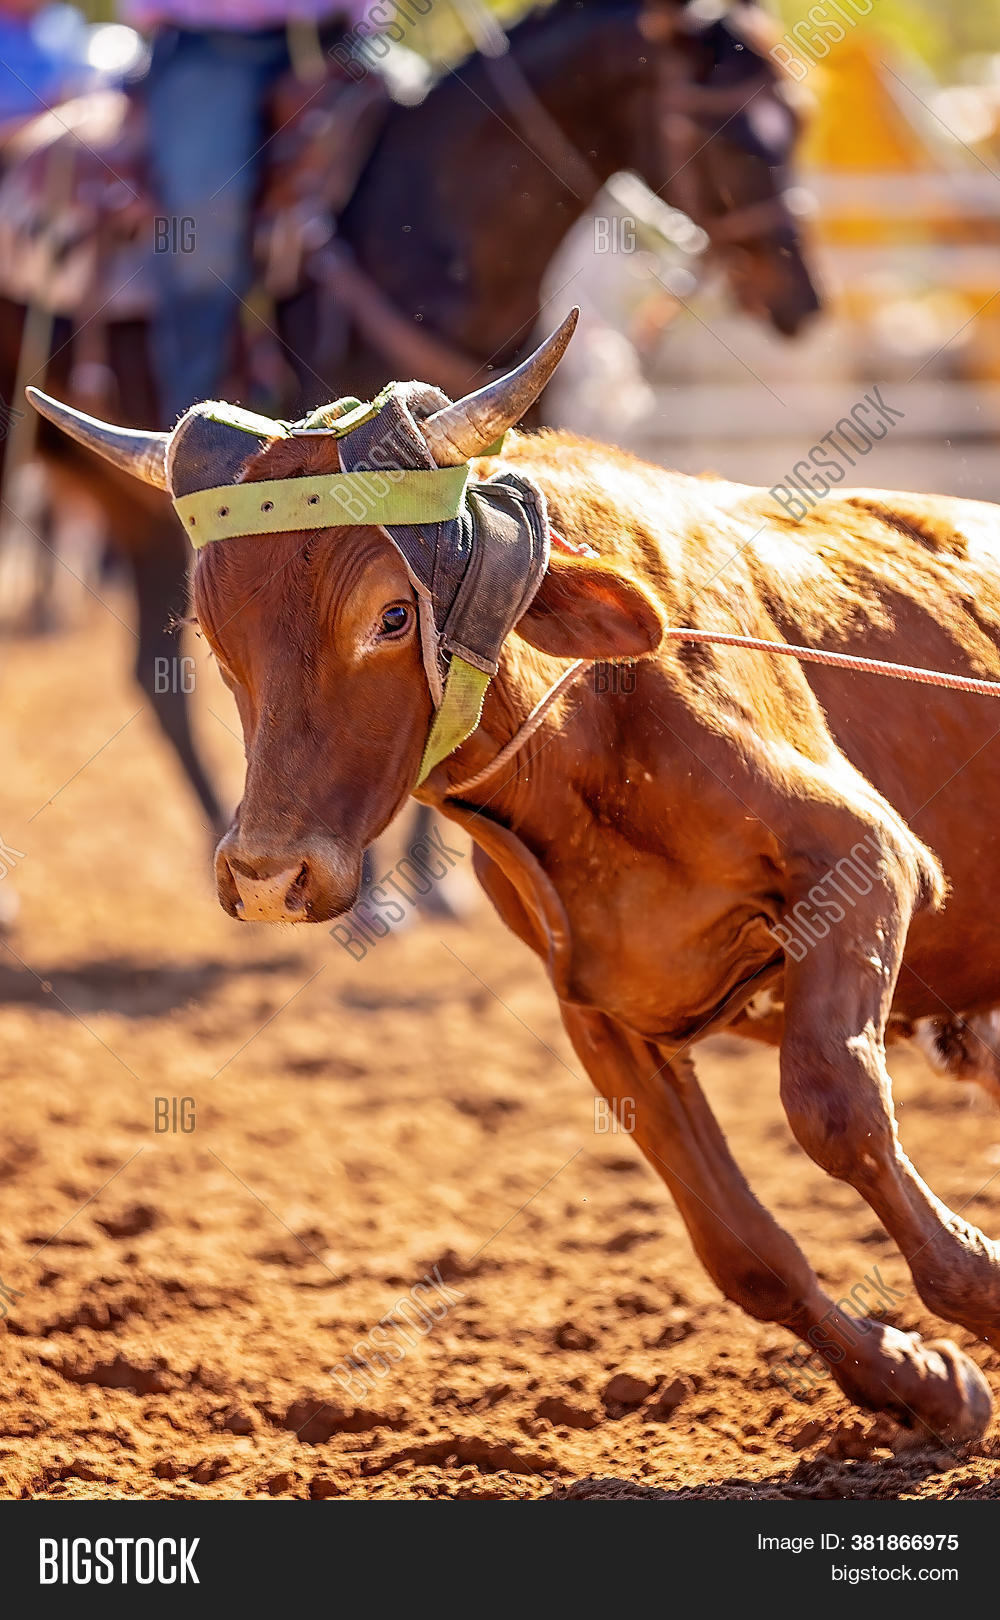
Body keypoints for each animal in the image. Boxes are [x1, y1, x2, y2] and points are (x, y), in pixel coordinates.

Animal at [28, 312, 1000, 1448]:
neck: (595, 736)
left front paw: (977, 1289)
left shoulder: (869, 863)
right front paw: (920, 1379)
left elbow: (833, 1101)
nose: (268, 875)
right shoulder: (600, 1014)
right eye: (218, 635)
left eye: (392, 617)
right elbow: (742, 1250)